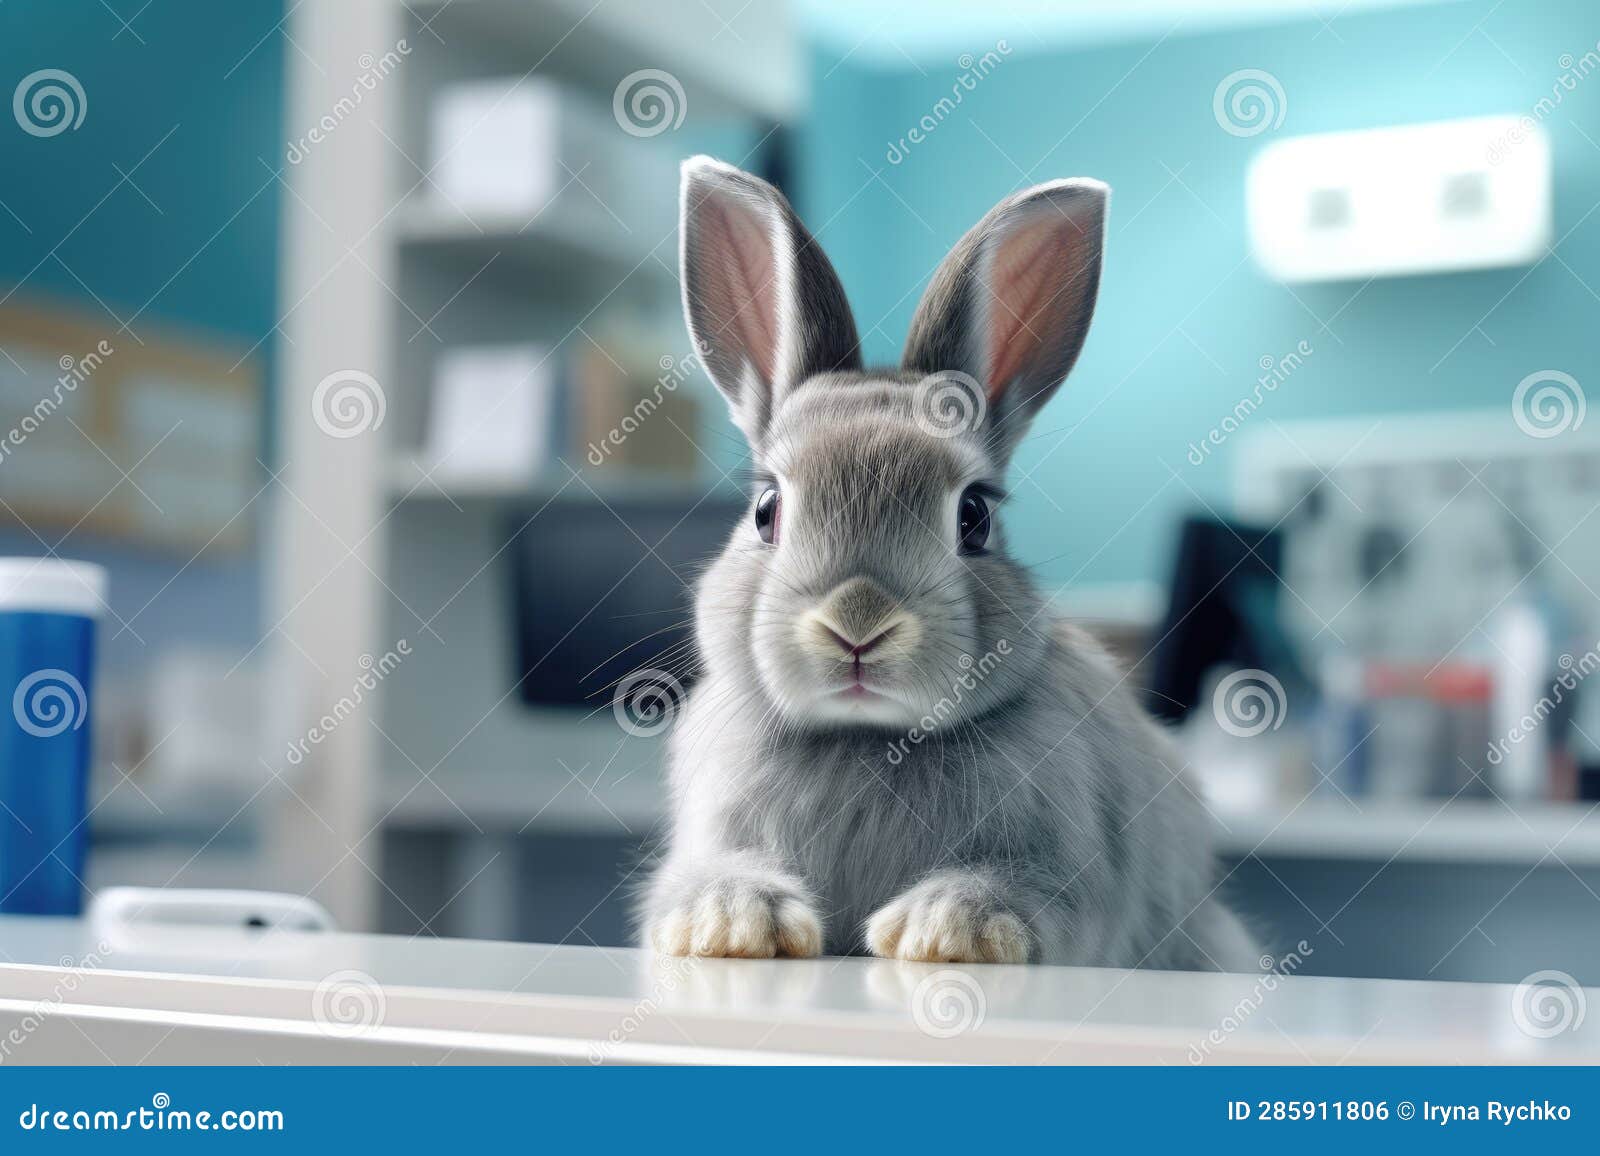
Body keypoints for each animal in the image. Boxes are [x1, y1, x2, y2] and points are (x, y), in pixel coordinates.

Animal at [639, 156, 1258, 970]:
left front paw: (943, 932)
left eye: (974, 518)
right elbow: (710, 874)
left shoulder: (1069, 865)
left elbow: (1031, 893)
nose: (858, 624)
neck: (870, 739)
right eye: (766, 509)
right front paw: (736, 926)